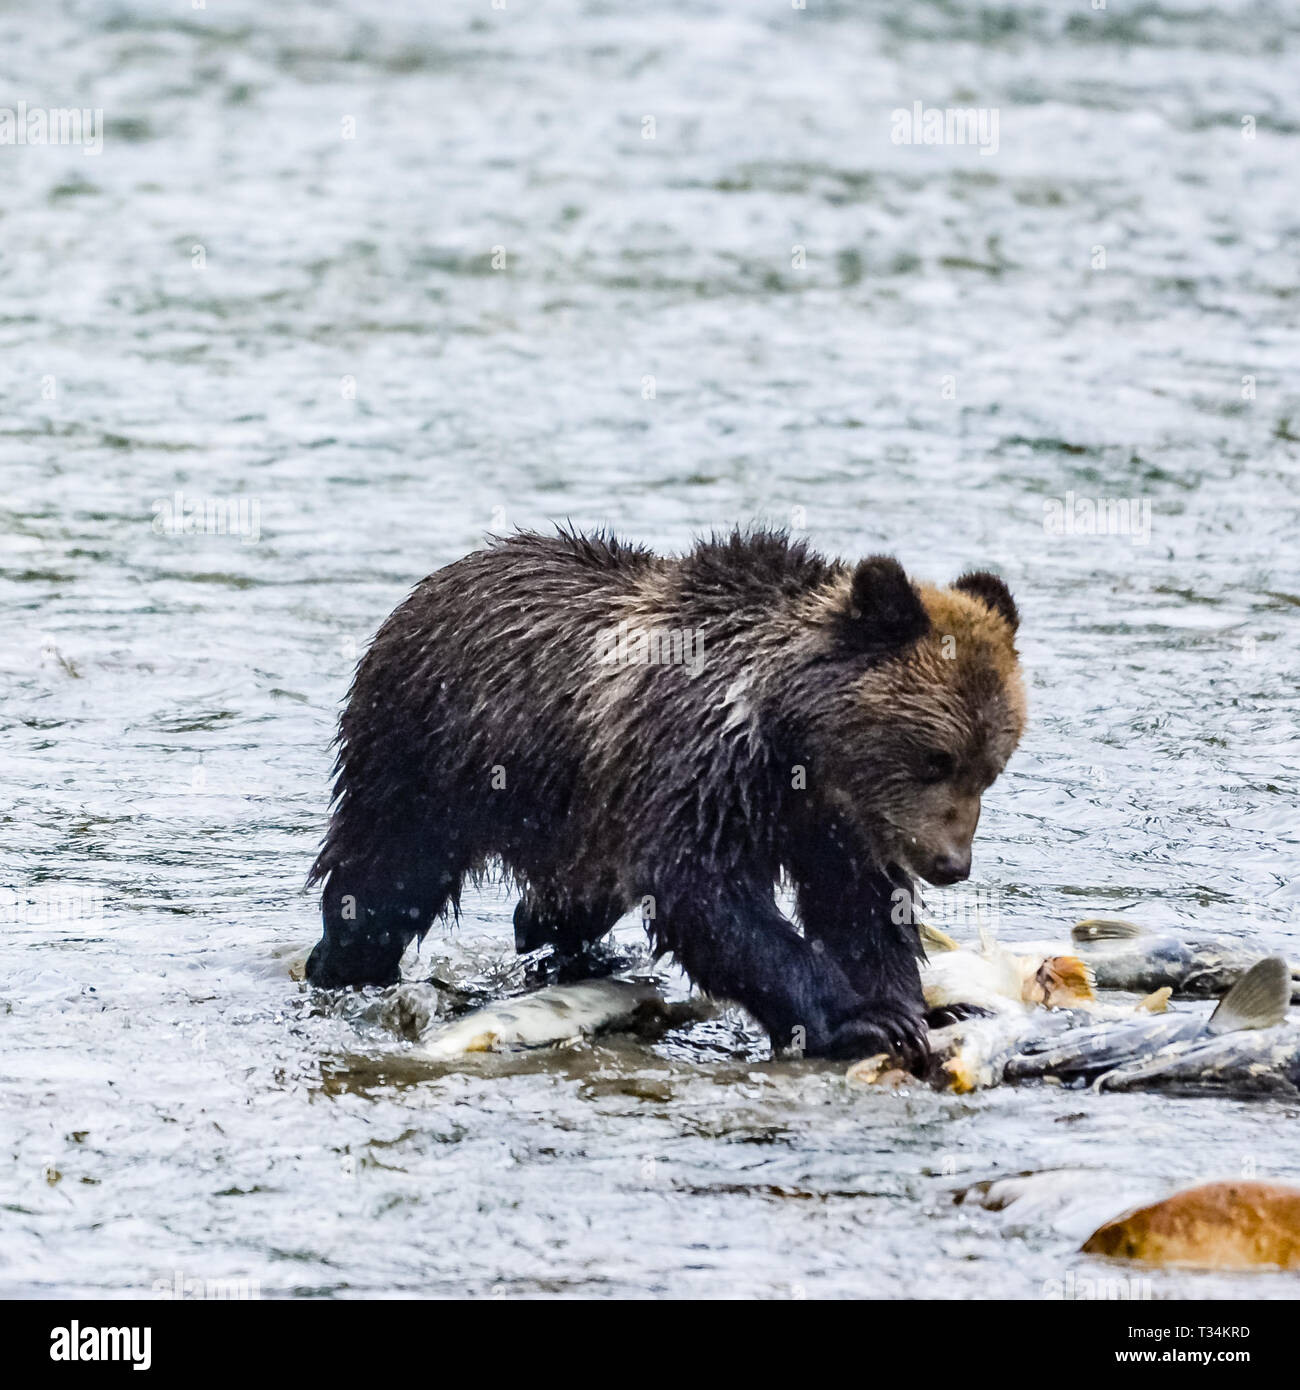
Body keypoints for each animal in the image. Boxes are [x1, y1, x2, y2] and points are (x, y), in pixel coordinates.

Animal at [305, 528, 1026, 1061]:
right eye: (935, 758)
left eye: (989, 767)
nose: (952, 864)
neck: (788, 740)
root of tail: (434, 582)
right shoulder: (695, 771)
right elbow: (706, 897)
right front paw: (860, 1020)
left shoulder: (833, 821)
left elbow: (861, 909)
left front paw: (922, 1010)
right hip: (426, 756)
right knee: (382, 877)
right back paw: (342, 966)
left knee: (567, 903)